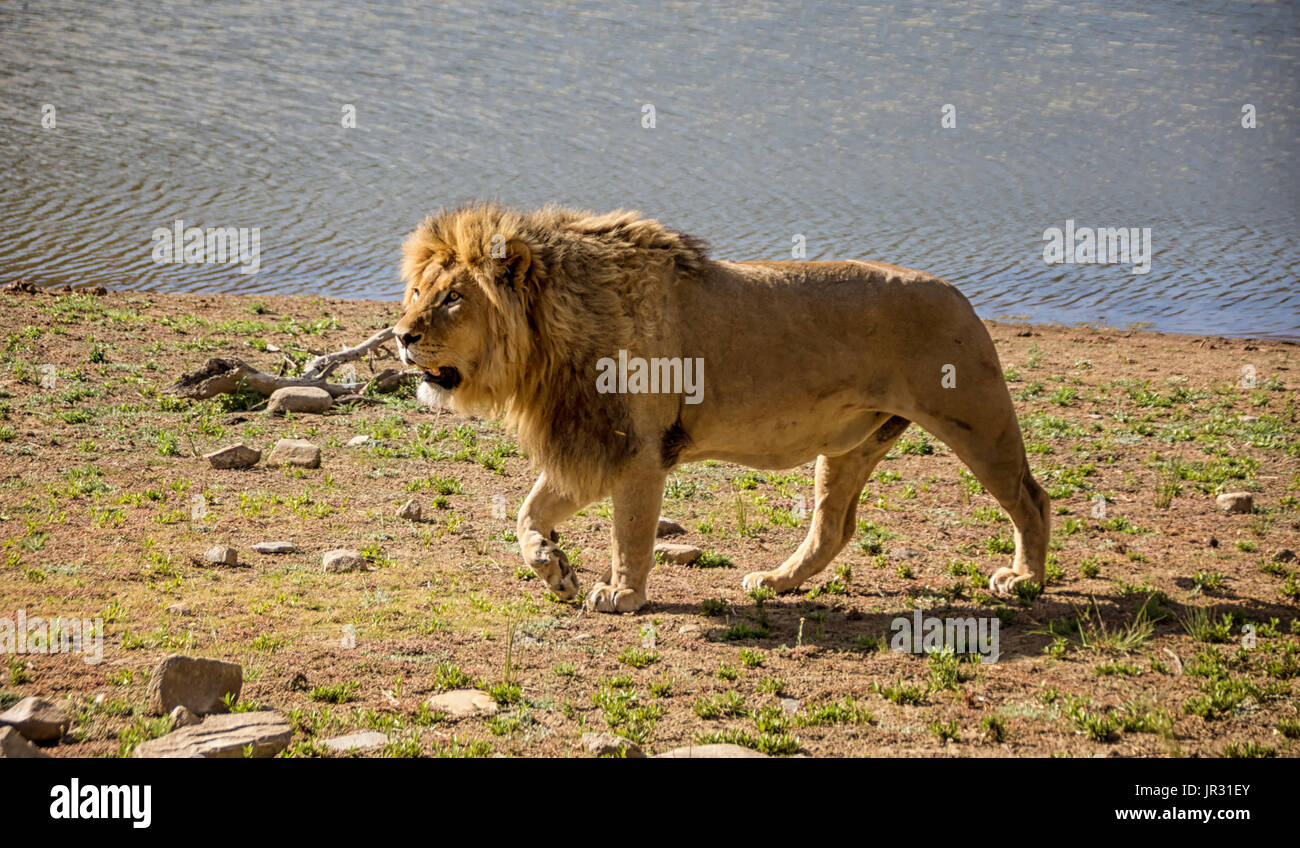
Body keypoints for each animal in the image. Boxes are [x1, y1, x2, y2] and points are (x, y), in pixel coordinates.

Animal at [392, 203, 1050, 613]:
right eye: (417, 292)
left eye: (452, 299)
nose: (399, 335)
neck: (551, 340)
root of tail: (960, 293)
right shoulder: (593, 443)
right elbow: (527, 514)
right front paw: (556, 570)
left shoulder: (639, 450)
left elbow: (630, 532)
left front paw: (621, 595)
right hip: (852, 444)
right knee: (832, 527)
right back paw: (775, 582)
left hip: (975, 418)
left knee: (1030, 496)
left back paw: (1023, 581)